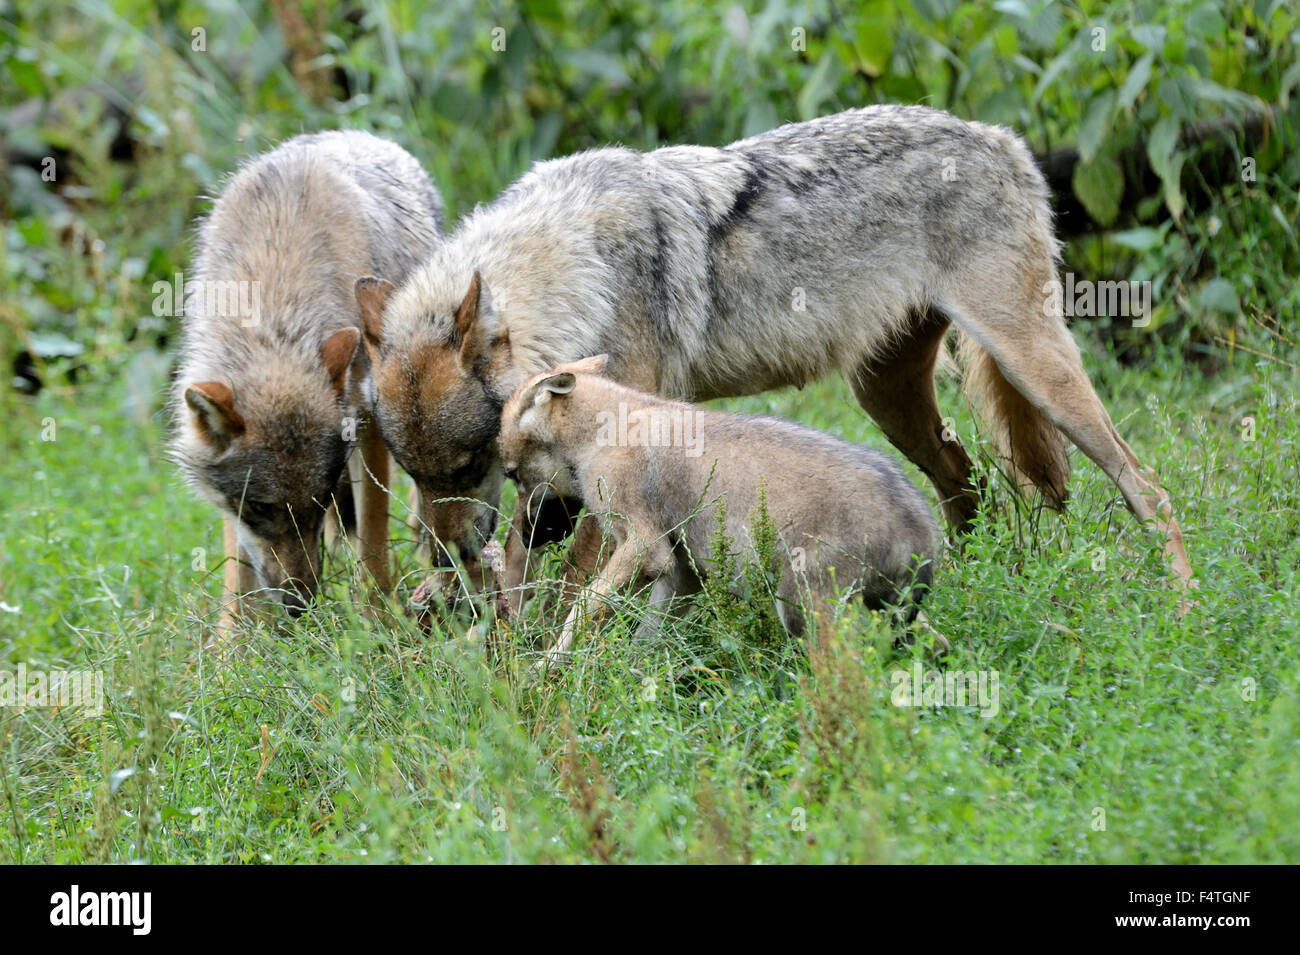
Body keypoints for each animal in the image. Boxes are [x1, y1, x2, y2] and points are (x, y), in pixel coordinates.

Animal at [171, 130, 443, 625]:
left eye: (318, 498)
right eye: (261, 507)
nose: (300, 605)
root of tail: (366, 134)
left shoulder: (366, 417)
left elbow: (373, 540)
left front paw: (377, 621)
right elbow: (238, 568)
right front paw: (232, 640)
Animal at [355, 105, 1194, 617]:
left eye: (469, 466)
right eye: (413, 472)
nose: (445, 554)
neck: (579, 270)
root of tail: (1002, 137)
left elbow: (571, 579)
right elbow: (527, 577)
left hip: (1033, 370)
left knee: (1145, 487)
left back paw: (1186, 608)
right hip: (888, 401)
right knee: (970, 485)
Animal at [498, 356, 941, 663]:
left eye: (511, 475)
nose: (526, 538)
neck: (605, 428)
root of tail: (917, 522)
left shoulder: (643, 546)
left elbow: (583, 606)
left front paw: (545, 668)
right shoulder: (683, 571)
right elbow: (649, 637)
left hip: (803, 610)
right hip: (893, 612)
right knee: (934, 646)